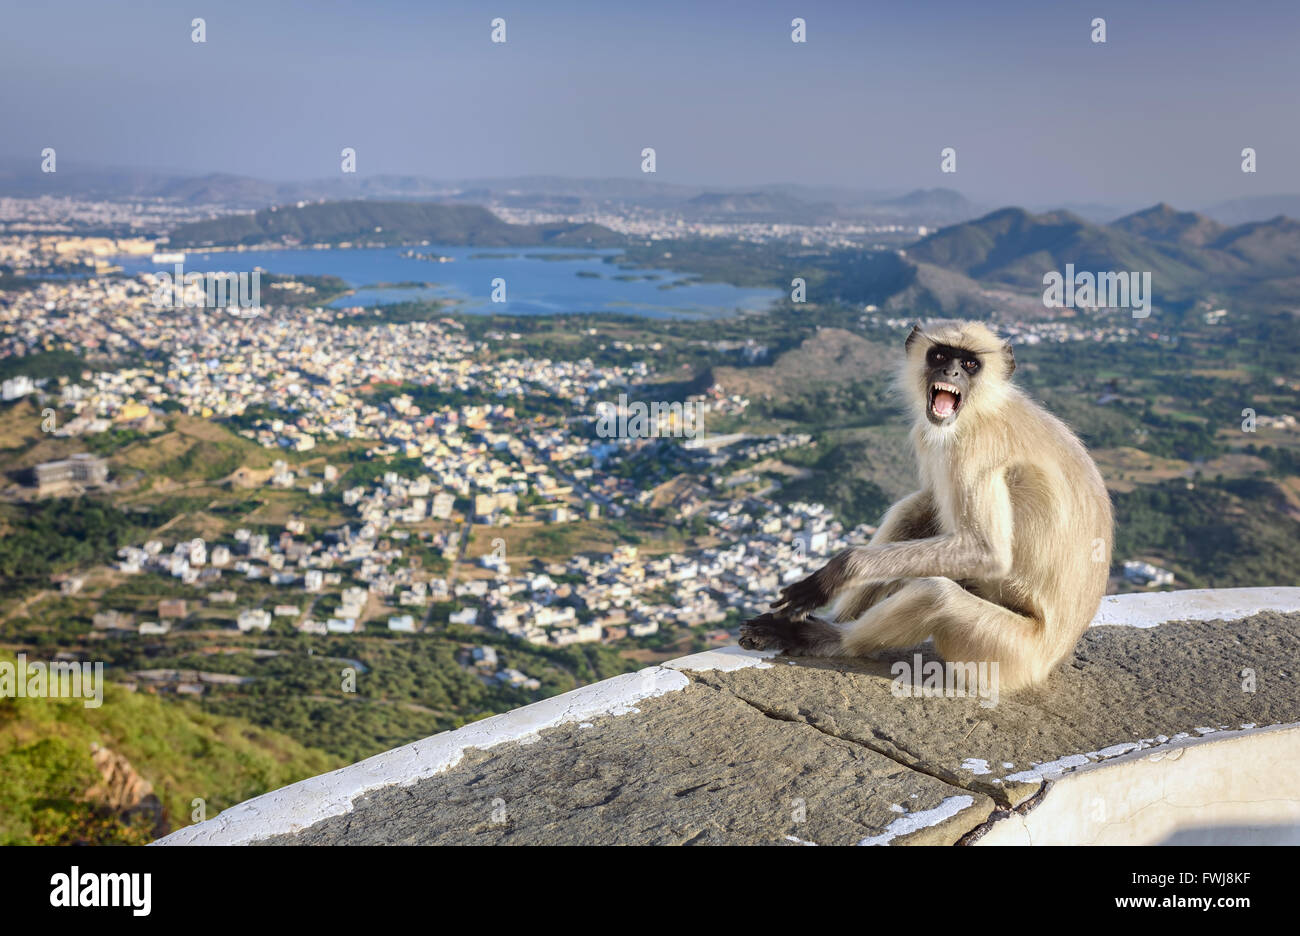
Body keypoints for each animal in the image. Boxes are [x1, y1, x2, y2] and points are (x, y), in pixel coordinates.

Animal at [739, 320, 1113, 693]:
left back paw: (829, 638)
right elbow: (928, 508)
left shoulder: (973, 447)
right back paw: (834, 621)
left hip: (1008, 652)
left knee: (937, 594)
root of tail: (1053, 659)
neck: (981, 409)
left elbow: (987, 551)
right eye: (940, 355)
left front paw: (836, 573)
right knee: (913, 513)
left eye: (970, 364)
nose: (951, 372)